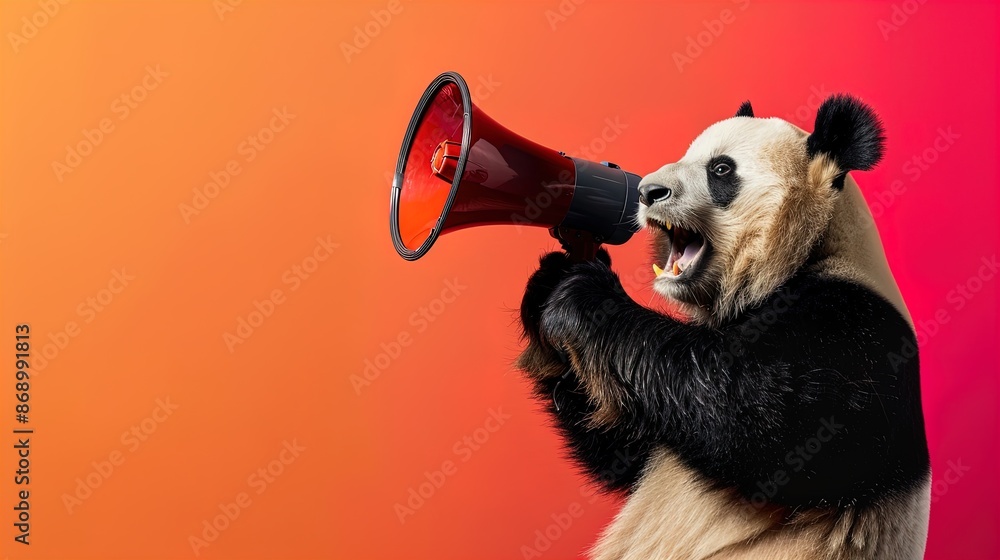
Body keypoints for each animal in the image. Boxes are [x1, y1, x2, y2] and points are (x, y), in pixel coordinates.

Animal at [517, 96, 930, 559]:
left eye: (720, 169)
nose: (646, 191)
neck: (813, 250)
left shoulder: (856, 330)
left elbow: (756, 415)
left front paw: (582, 294)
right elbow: (628, 444)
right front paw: (548, 285)